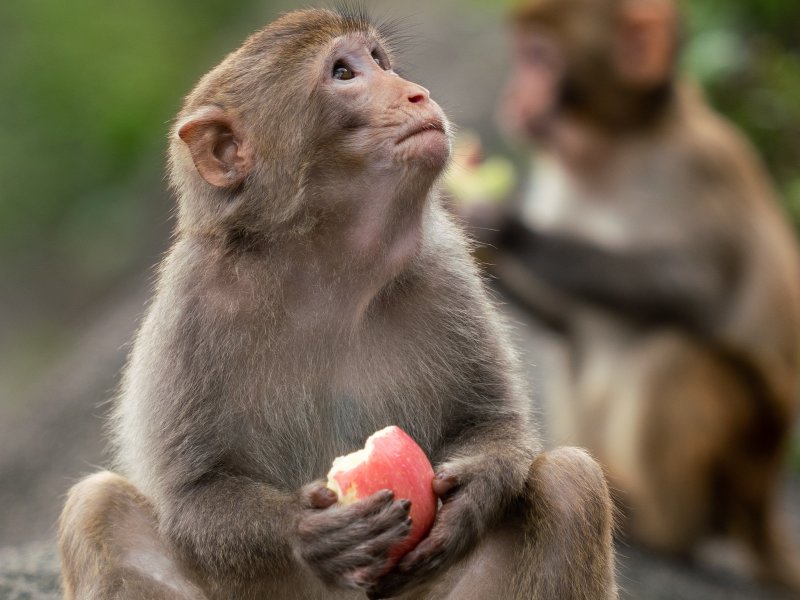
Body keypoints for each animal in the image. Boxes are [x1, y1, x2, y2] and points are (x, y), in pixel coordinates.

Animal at [57, 8, 618, 600]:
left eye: (379, 60)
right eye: (343, 73)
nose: (416, 92)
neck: (324, 271)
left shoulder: (443, 270)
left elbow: (494, 420)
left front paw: (473, 490)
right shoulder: (190, 308)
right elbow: (193, 495)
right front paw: (306, 532)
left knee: (569, 481)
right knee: (97, 506)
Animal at [485, 0, 800, 591]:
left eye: (541, 58)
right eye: (520, 54)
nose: (514, 94)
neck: (611, 150)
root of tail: (761, 495)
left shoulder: (695, 167)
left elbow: (694, 288)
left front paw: (508, 229)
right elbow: (564, 321)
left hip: (744, 451)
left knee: (674, 351)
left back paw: (651, 523)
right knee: (573, 347)